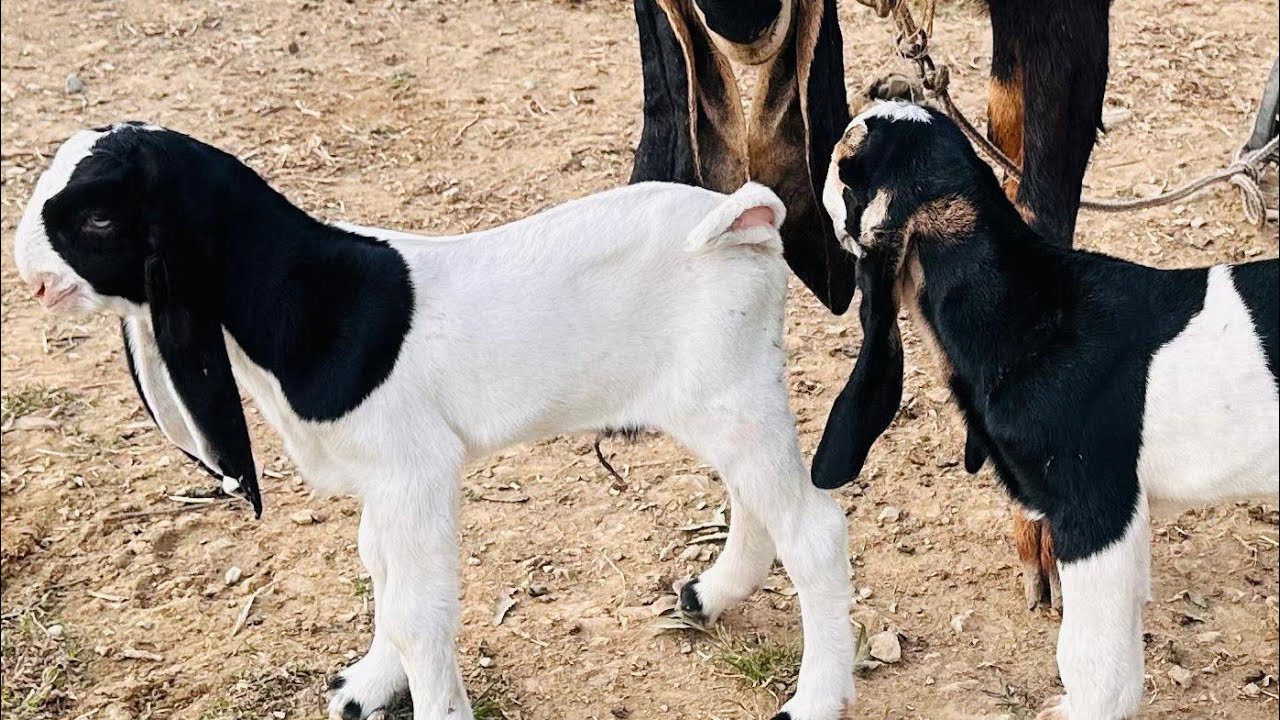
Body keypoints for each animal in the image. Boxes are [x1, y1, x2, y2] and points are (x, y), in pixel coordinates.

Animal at [13, 122, 857, 720]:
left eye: (96, 220)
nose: (32, 282)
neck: (312, 298)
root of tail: (744, 220)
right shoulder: (384, 482)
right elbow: (385, 579)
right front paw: (366, 685)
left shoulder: (415, 468)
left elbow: (418, 612)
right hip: (724, 399)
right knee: (755, 502)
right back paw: (711, 595)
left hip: (730, 395)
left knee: (811, 530)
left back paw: (814, 700)